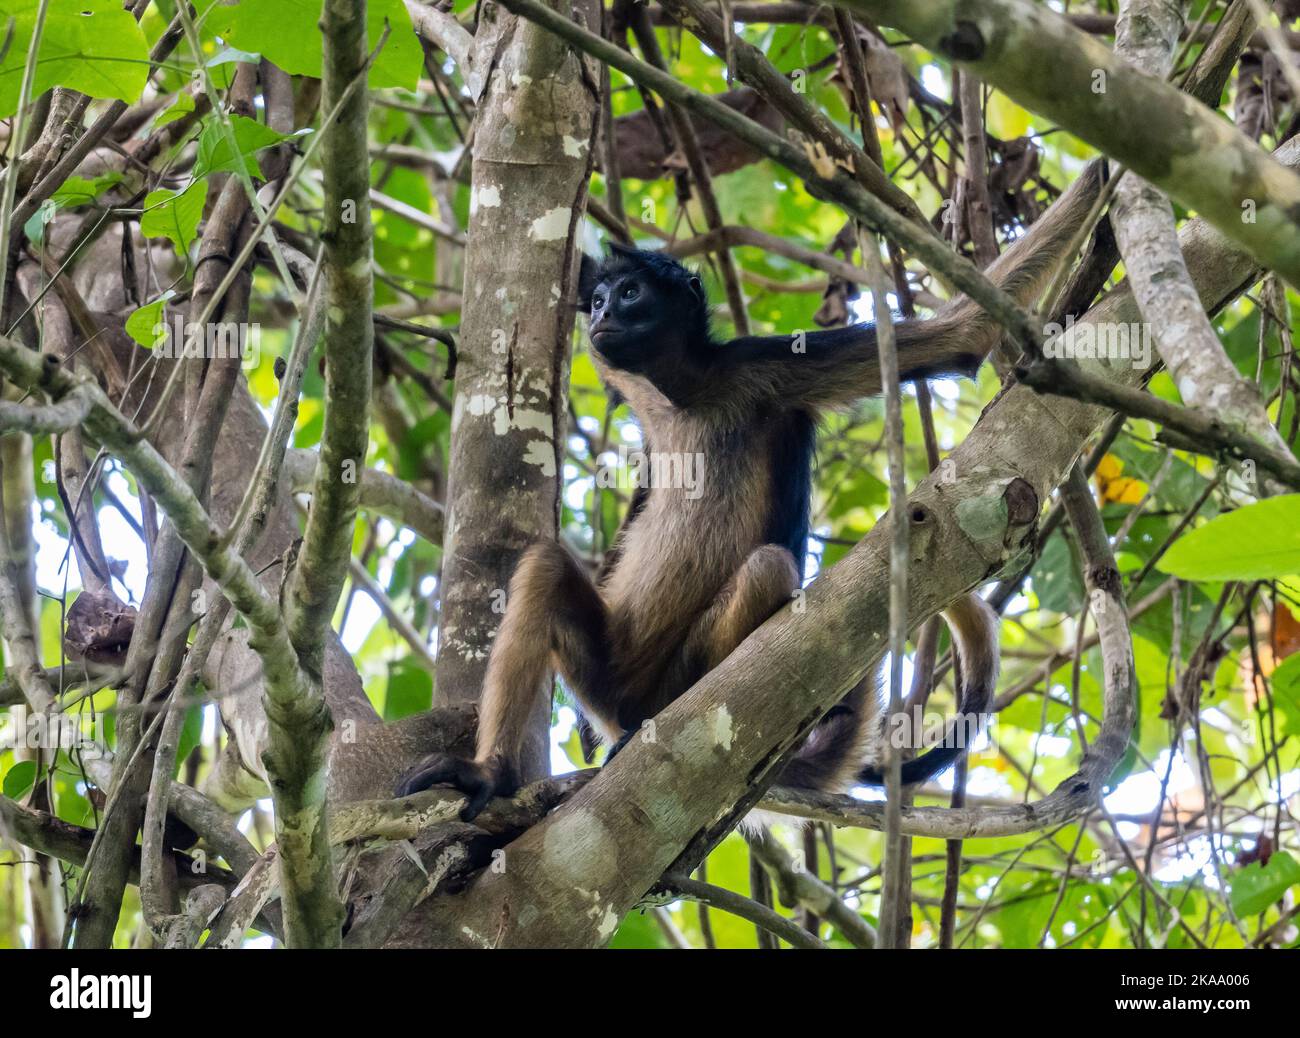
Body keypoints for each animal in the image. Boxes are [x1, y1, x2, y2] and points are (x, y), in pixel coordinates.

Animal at [397, 164, 1104, 821]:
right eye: (598, 298)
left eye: (629, 293)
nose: (599, 313)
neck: (687, 390)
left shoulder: (766, 366)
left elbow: (961, 335)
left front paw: (1105, 176)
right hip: (604, 674)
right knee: (545, 568)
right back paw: (493, 773)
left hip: (668, 678)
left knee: (767, 567)